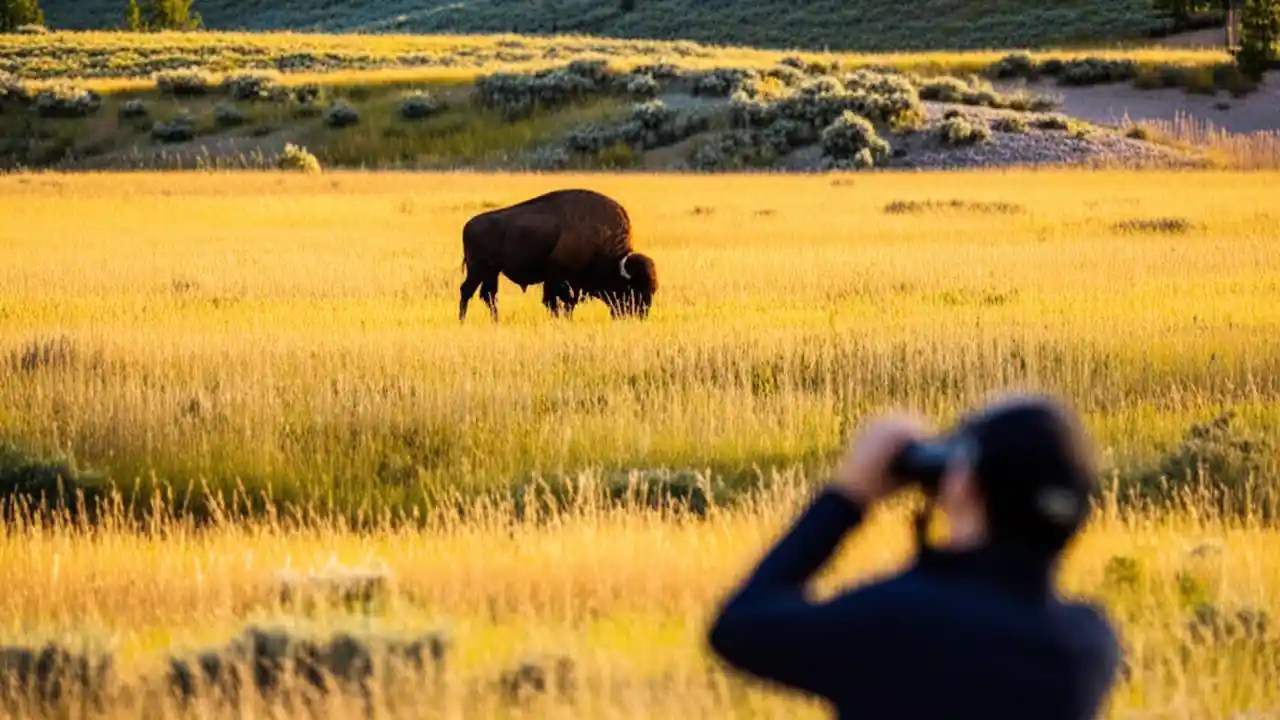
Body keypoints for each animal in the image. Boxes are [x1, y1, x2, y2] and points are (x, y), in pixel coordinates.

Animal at [459, 189, 658, 322]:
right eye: (633, 289)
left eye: (652, 291)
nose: (641, 316)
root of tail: (468, 225)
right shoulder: (558, 279)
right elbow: (556, 302)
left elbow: (565, 303)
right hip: (478, 270)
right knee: (468, 291)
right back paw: (463, 321)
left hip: (491, 273)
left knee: (488, 296)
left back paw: (495, 322)